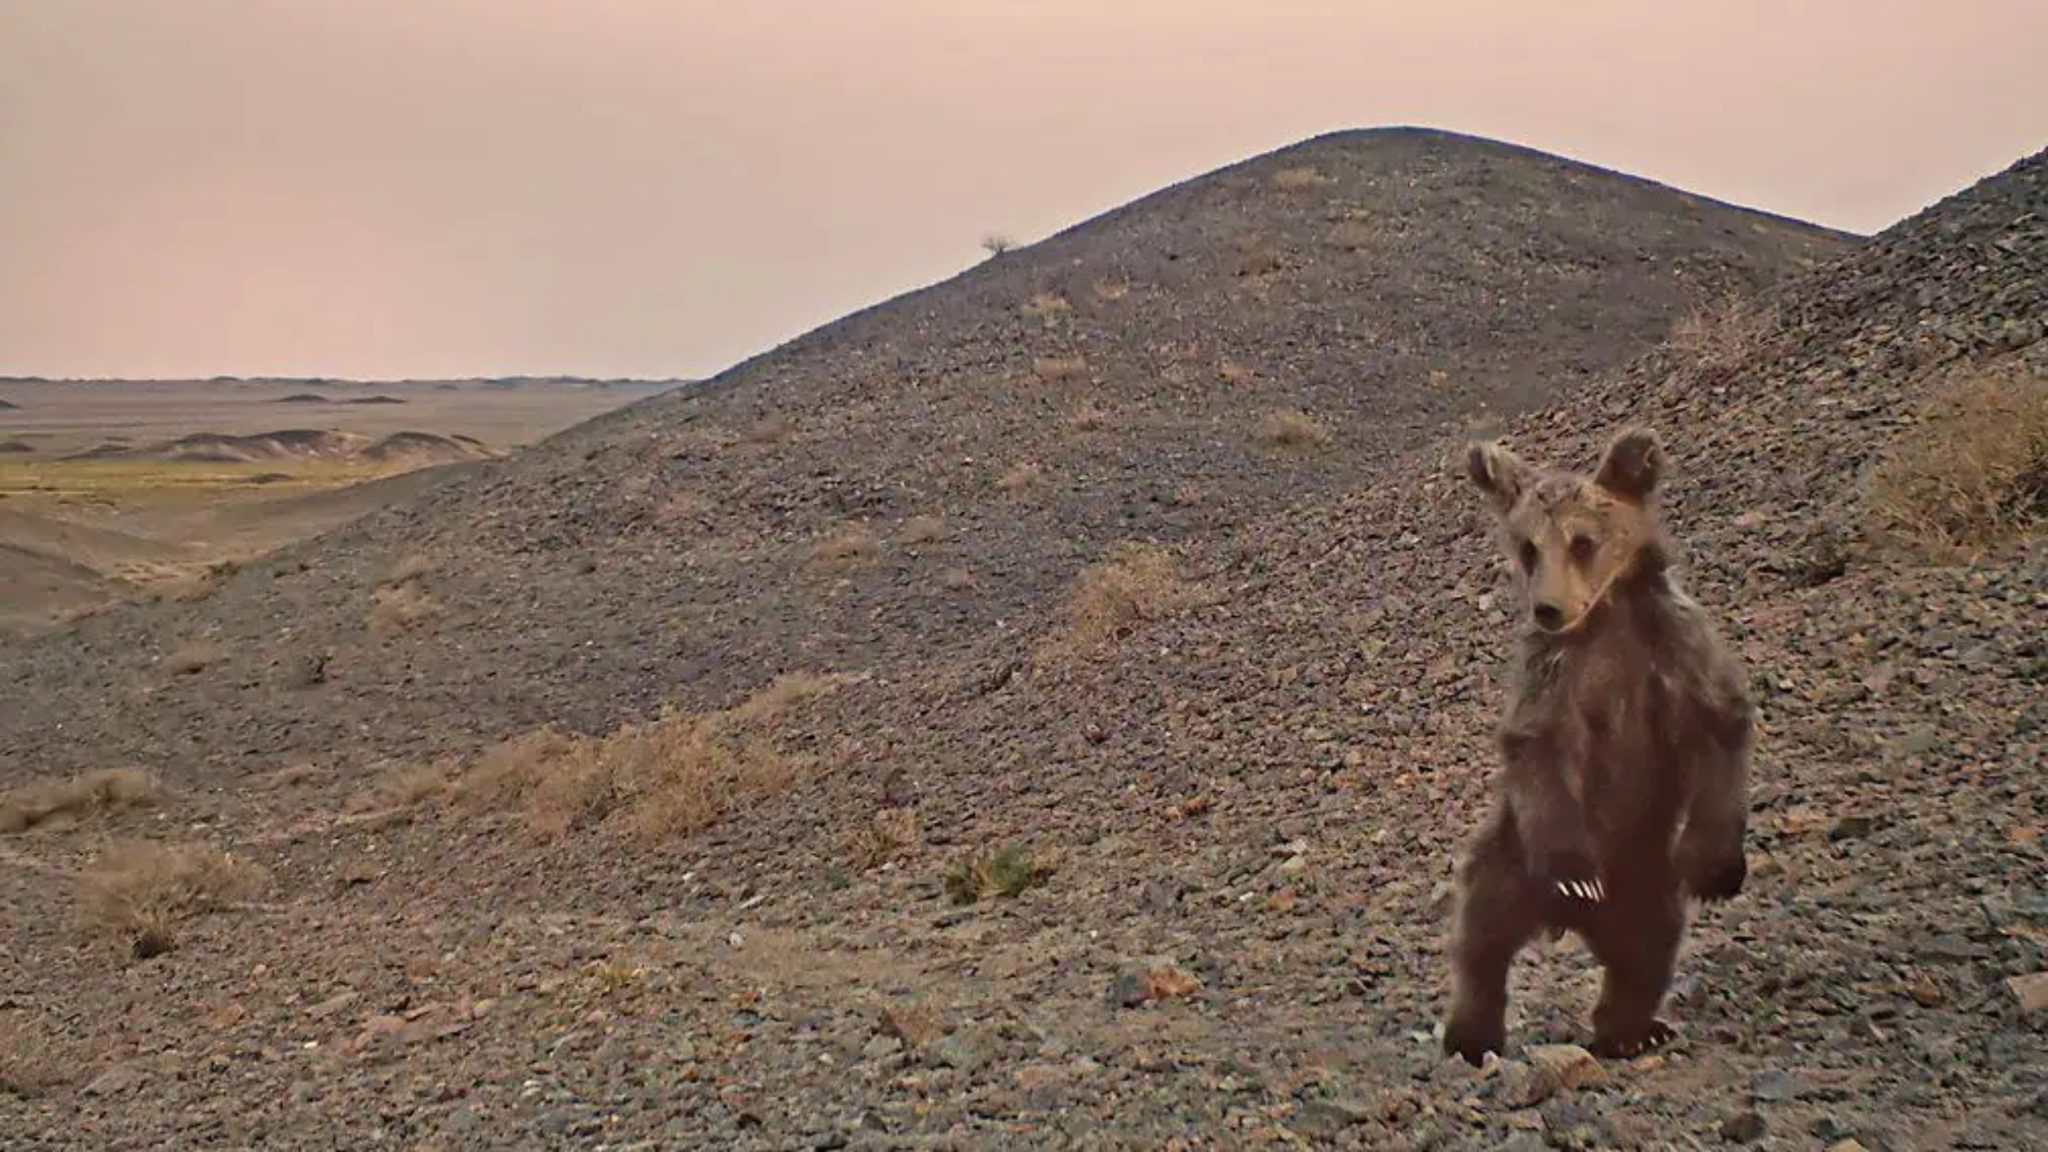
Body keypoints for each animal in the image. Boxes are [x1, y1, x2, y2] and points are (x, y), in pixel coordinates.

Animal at [1441, 425, 1754, 1065]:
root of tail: (1573, 926)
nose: (1548, 607)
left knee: (1647, 949)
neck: (1606, 616)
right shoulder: (1557, 679)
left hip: (1644, 874)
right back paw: (1471, 1035)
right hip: (1513, 854)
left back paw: (1631, 1030)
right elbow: (1540, 750)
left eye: (1582, 541)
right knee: (1483, 935)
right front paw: (1575, 876)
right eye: (1528, 547)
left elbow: (1719, 723)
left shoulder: (1674, 646)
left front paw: (1715, 870)